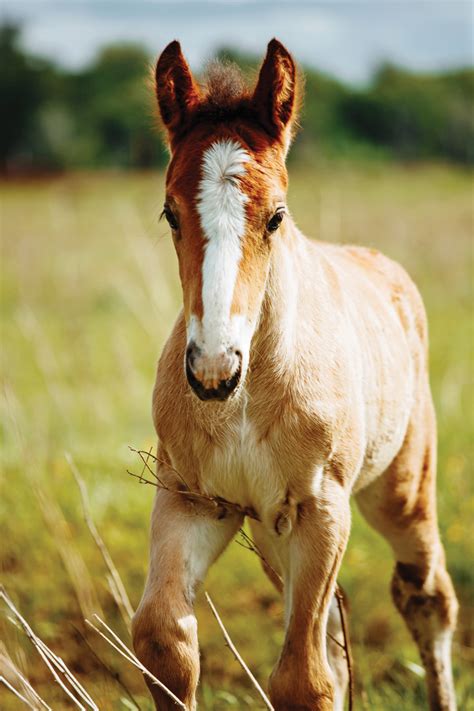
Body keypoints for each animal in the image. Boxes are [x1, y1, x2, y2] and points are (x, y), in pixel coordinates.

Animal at [132, 39, 458, 711]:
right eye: (170, 213)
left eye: (276, 216)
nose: (213, 371)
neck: (244, 398)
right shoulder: (191, 499)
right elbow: (164, 643)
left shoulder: (320, 510)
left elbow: (304, 681)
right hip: (270, 532)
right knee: (333, 629)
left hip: (401, 491)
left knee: (425, 595)